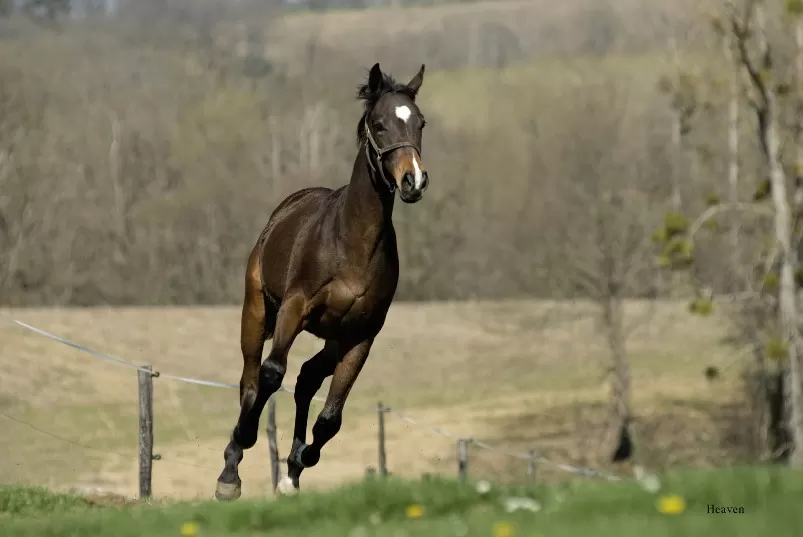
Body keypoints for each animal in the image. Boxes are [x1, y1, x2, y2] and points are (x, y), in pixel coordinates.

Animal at [212, 63, 428, 502]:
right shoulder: (294, 308)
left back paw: (290, 471)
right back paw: (231, 468)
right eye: (379, 125)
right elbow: (271, 373)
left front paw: (296, 467)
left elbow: (330, 418)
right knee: (252, 377)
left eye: (421, 122)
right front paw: (241, 452)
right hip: (257, 309)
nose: (413, 181)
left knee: (307, 379)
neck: (352, 244)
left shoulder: (361, 335)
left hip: (332, 338)